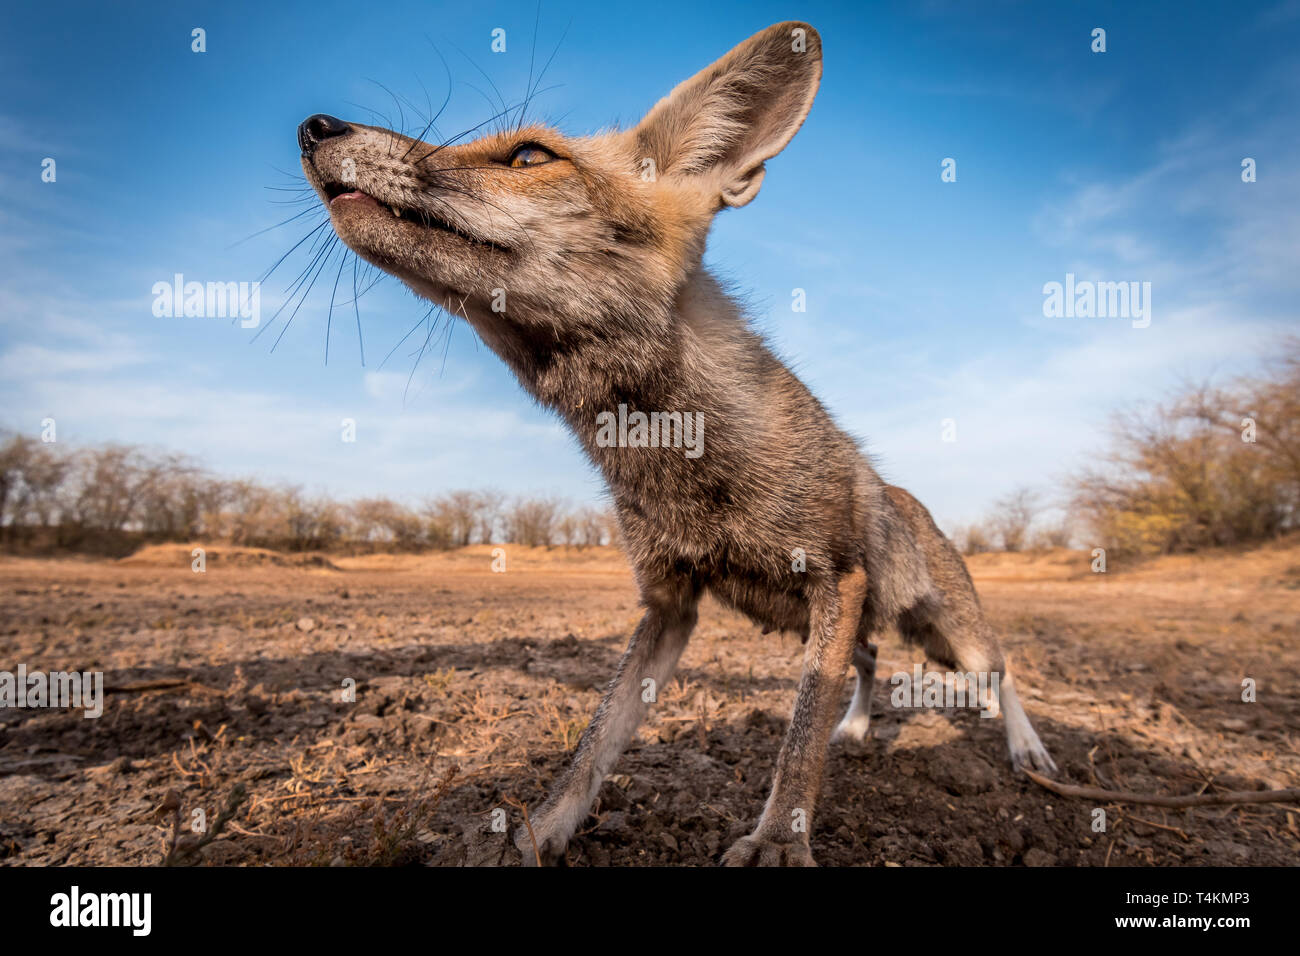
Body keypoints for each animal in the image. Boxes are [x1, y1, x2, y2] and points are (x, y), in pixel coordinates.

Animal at [298, 20, 1056, 866]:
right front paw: (536, 834)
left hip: (948, 633)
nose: (315, 127)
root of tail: (908, 497)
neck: (679, 460)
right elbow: (594, 746)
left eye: (528, 156)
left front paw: (778, 840)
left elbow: (799, 737)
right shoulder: (668, 605)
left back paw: (1027, 751)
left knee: (999, 672)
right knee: (869, 662)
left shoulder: (836, 576)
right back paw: (859, 727)